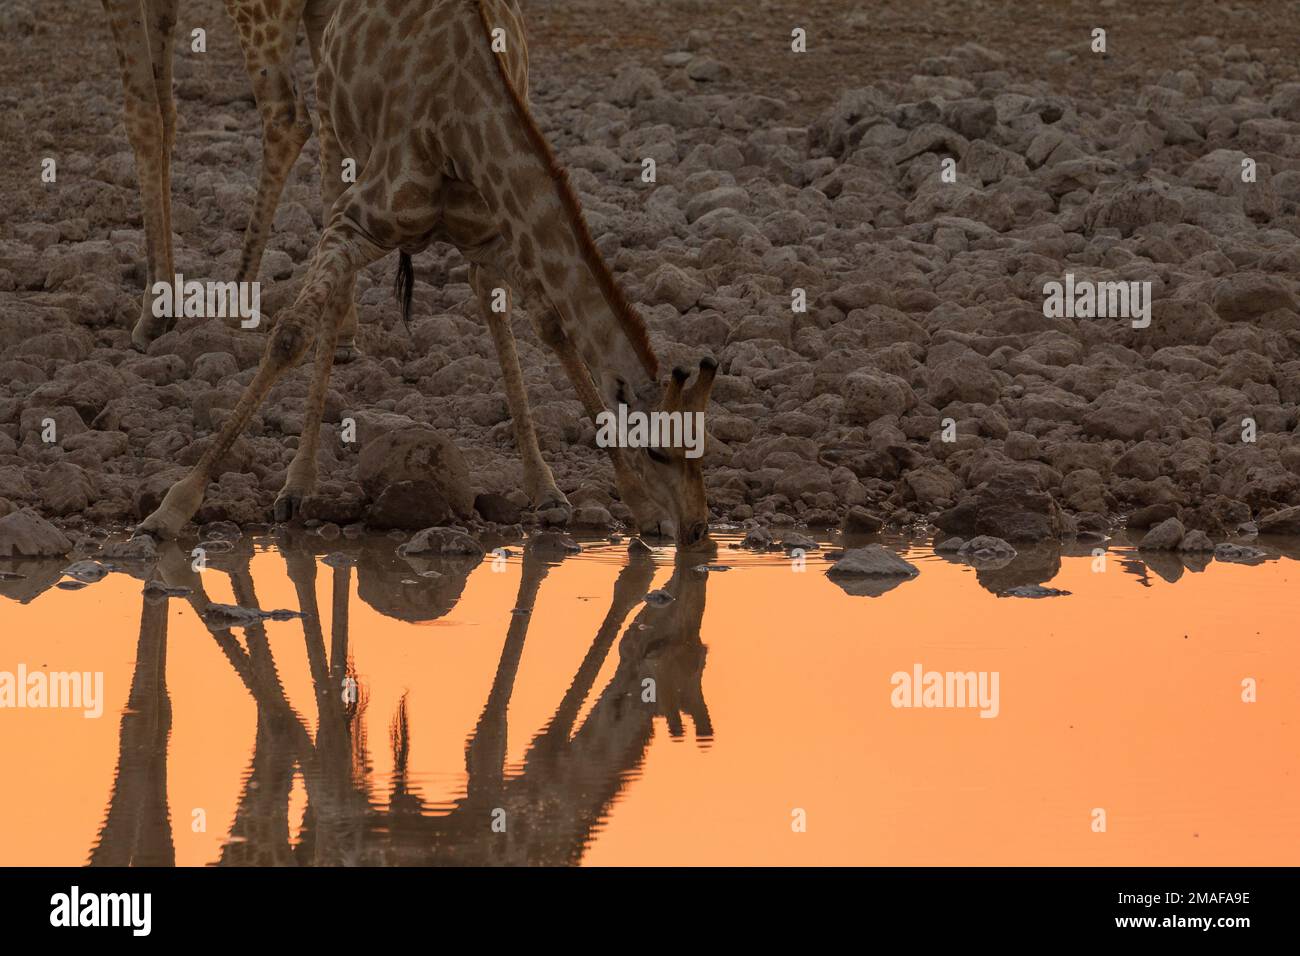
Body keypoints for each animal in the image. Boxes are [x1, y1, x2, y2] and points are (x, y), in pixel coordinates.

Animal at [99, 0, 362, 360]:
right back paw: (341, 333)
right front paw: (164, 305)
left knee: (286, 120)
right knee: (333, 113)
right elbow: (166, 110)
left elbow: (143, 116)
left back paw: (235, 307)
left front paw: (154, 315)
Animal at [135, 0, 719, 549]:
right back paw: (297, 485)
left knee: (489, 300)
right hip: (335, 135)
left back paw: (544, 488)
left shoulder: (492, 235)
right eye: (657, 451)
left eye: (701, 446)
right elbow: (290, 335)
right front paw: (173, 506)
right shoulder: (355, 221)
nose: (696, 529)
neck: (457, 121)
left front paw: (634, 506)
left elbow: (553, 326)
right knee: (334, 290)